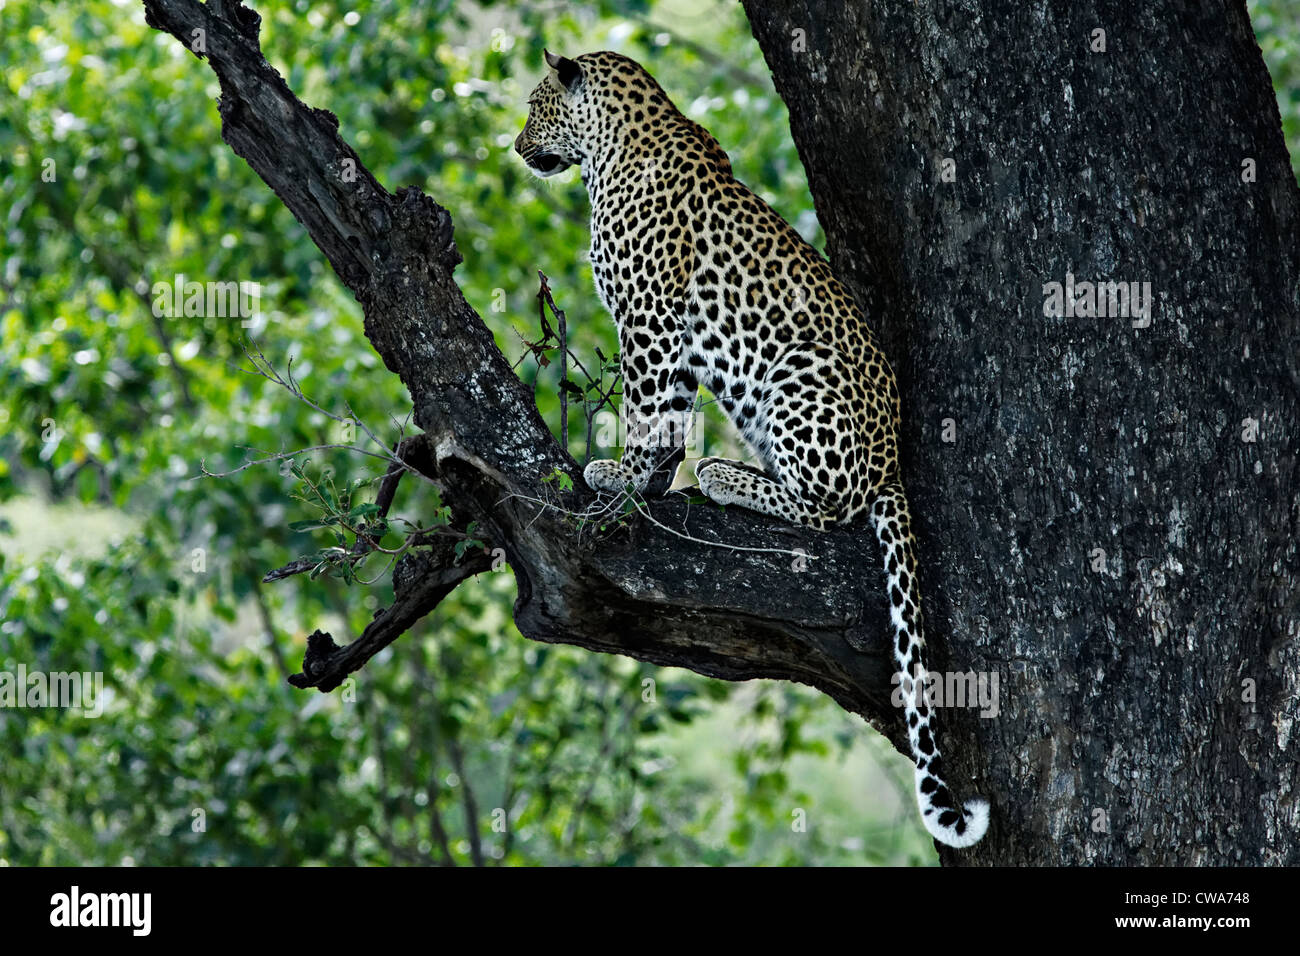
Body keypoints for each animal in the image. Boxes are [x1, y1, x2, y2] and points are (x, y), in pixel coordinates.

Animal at [515, 49, 988, 848]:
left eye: (534, 107)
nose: (518, 147)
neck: (612, 148)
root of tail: (893, 461)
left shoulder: (649, 321)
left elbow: (647, 414)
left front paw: (622, 481)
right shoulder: (670, 339)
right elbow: (669, 419)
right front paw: (647, 484)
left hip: (801, 374)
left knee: (826, 507)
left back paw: (726, 476)